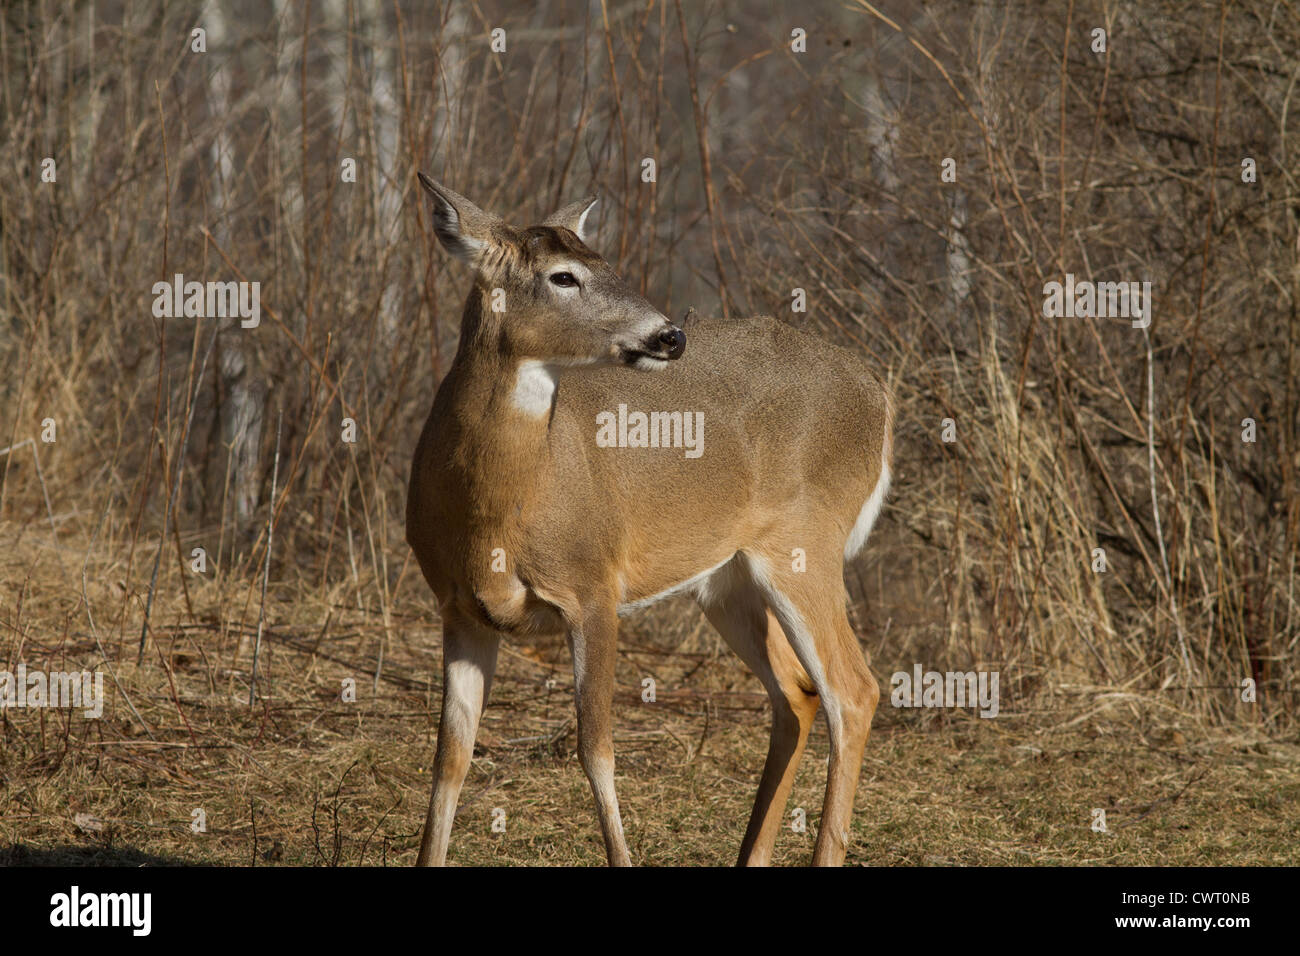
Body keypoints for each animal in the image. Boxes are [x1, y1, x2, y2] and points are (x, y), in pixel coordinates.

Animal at [406, 173, 894, 866]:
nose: (670, 336)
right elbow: (449, 759)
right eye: (563, 276)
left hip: (806, 544)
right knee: (797, 695)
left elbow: (596, 751)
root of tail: (878, 391)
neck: (499, 514)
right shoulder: (459, 608)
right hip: (728, 581)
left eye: (604, 261)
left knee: (852, 692)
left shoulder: (592, 586)